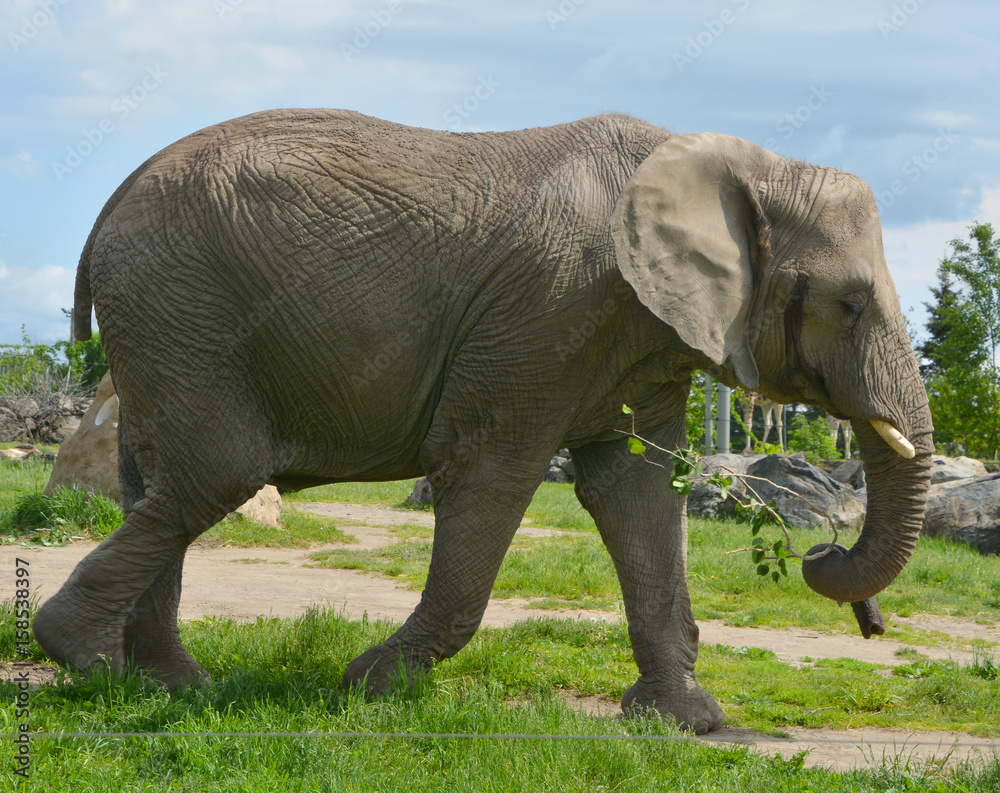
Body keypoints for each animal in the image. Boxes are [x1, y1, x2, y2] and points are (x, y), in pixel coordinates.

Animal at [33, 109, 932, 735]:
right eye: (850, 305)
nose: (825, 559)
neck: (738, 159)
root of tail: (110, 204)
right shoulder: (545, 317)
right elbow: (491, 473)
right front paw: (372, 686)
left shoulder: (635, 335)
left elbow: (637, 491)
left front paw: (685, 722)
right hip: (181, 313)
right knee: (214, 473)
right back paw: (82, 659)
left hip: (168, 322)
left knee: (161, 481)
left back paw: (166, 684)